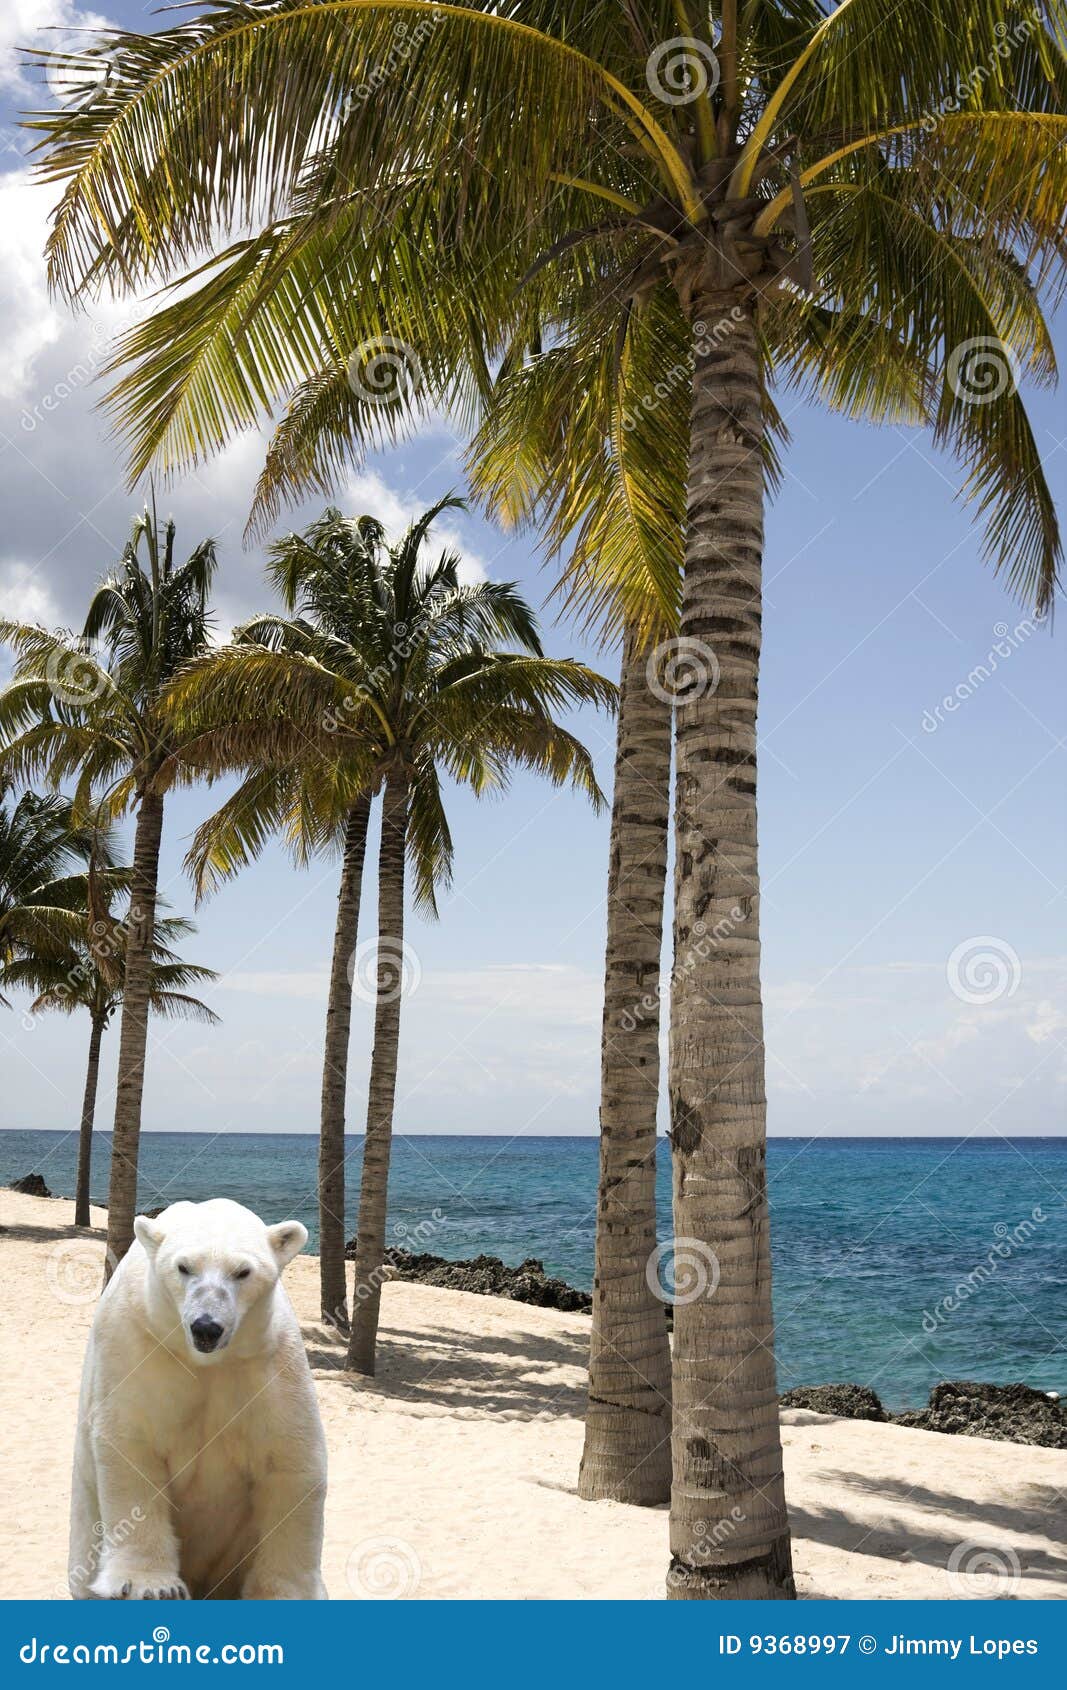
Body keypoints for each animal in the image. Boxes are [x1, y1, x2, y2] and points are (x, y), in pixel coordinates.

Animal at [69, 1198, 328, 1600]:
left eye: (243, 1272)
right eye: (184, 1267)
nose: (206, 1327)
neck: (203, 1359)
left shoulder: (266, 1360)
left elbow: (291, 1459)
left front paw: (286, 1593)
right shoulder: (137, 1343)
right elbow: (131, 1444)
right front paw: (150, 1585)